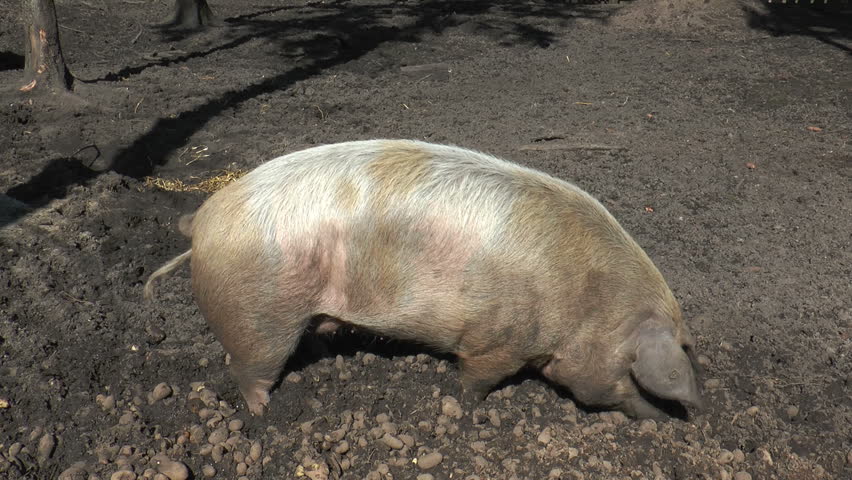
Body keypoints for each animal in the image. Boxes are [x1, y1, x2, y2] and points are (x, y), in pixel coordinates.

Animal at [144, 139, 702, 419]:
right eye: (633, 372)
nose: (674, 420)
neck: (583, 299)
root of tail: (202, 224)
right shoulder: (496, 340)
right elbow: (478, 378)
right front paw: (470, 408)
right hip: (258, 314)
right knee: (246, 366)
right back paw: (265, 412)